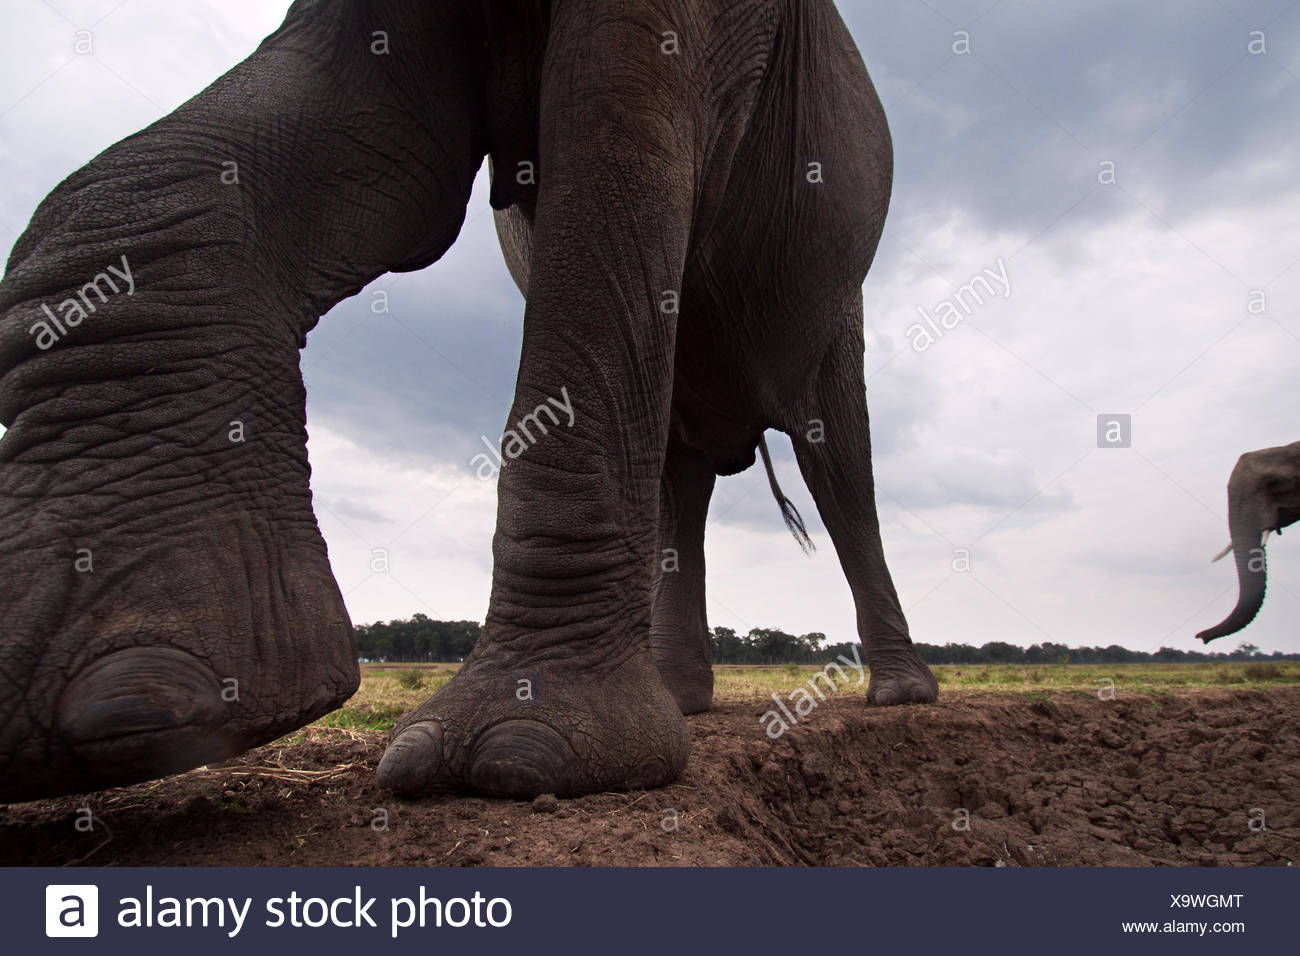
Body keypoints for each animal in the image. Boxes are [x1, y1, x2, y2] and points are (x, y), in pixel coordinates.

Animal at [0, 0, 937, 804]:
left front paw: (512, 758)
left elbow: (607, 190)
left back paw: (900, 696)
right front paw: (117, 693)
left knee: (837, 459)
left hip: (836, 306)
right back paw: (681, 699)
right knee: (684, 475)